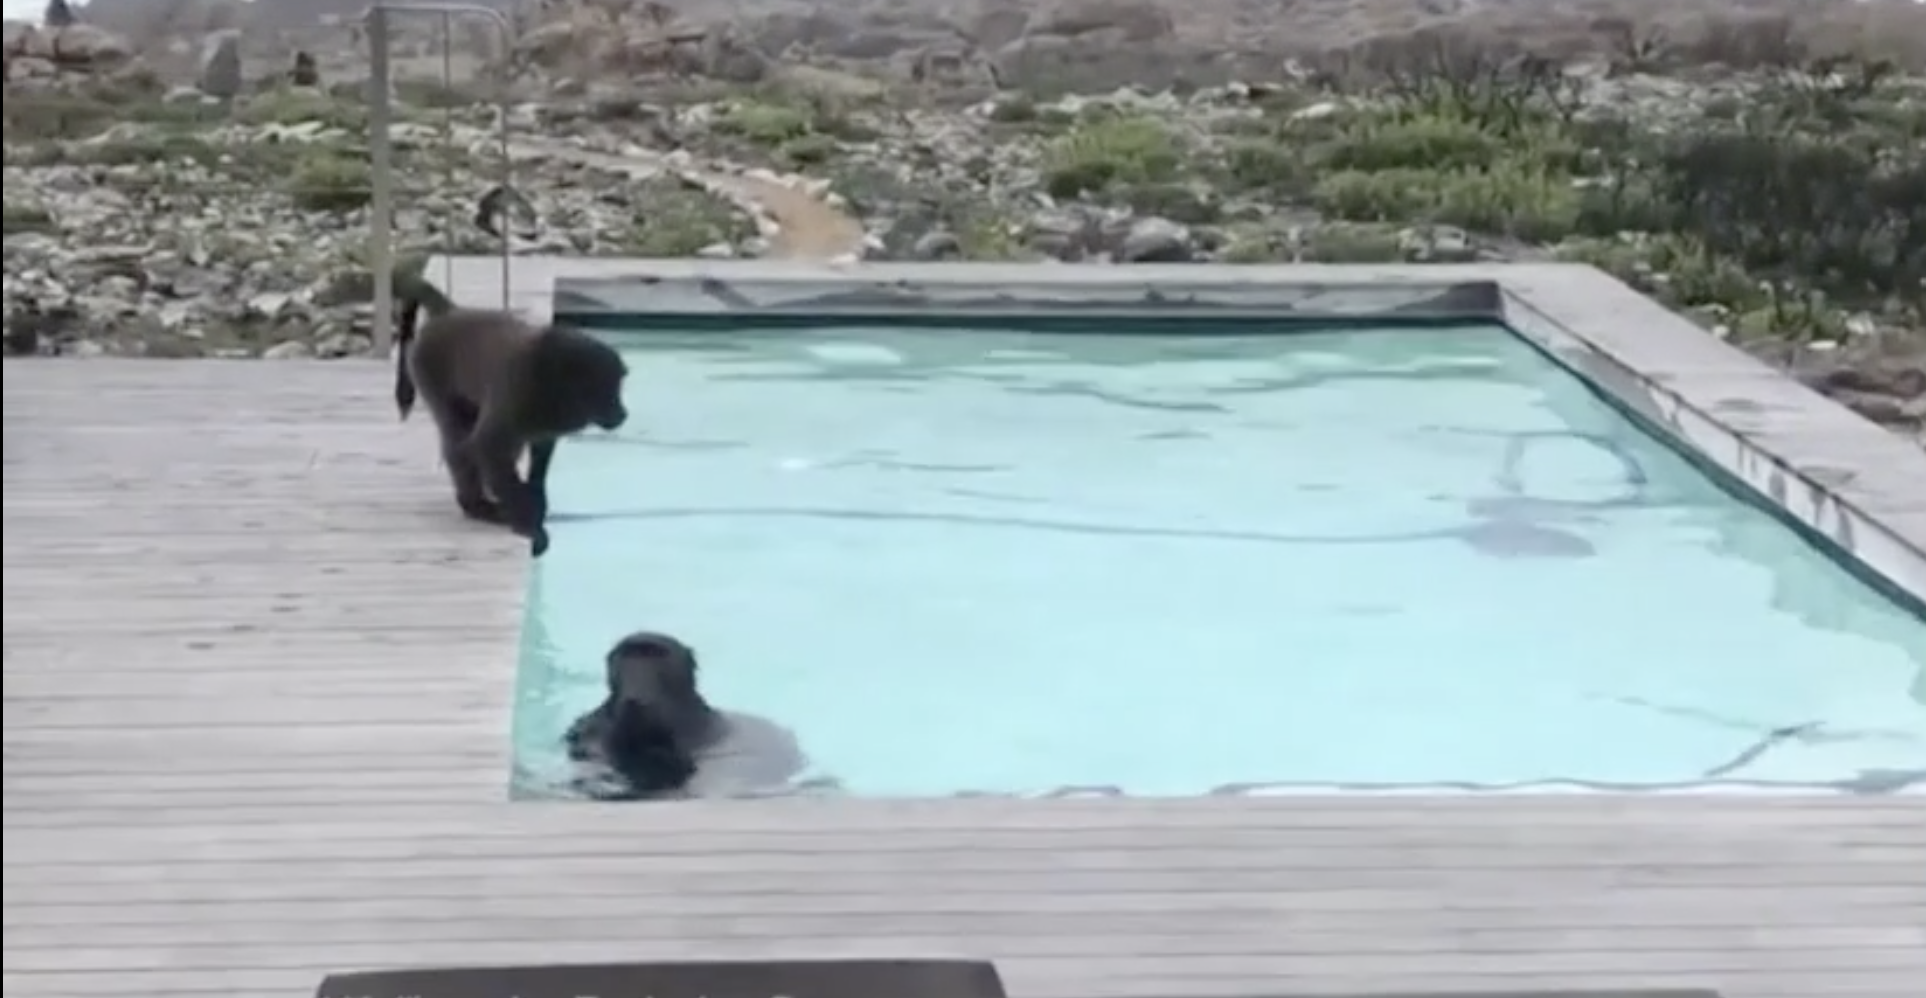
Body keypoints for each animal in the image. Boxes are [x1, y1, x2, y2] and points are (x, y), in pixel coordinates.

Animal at [392, 275, 628, 558]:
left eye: (617, 386)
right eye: (607, 388)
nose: (622, 413)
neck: (554, 380)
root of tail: (450, 312)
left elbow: (540, 447)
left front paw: (536, 498)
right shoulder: (520, 390)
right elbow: (487, 444)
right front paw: (529, 524)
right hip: (429, 365)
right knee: (457, 435)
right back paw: (474, 504)